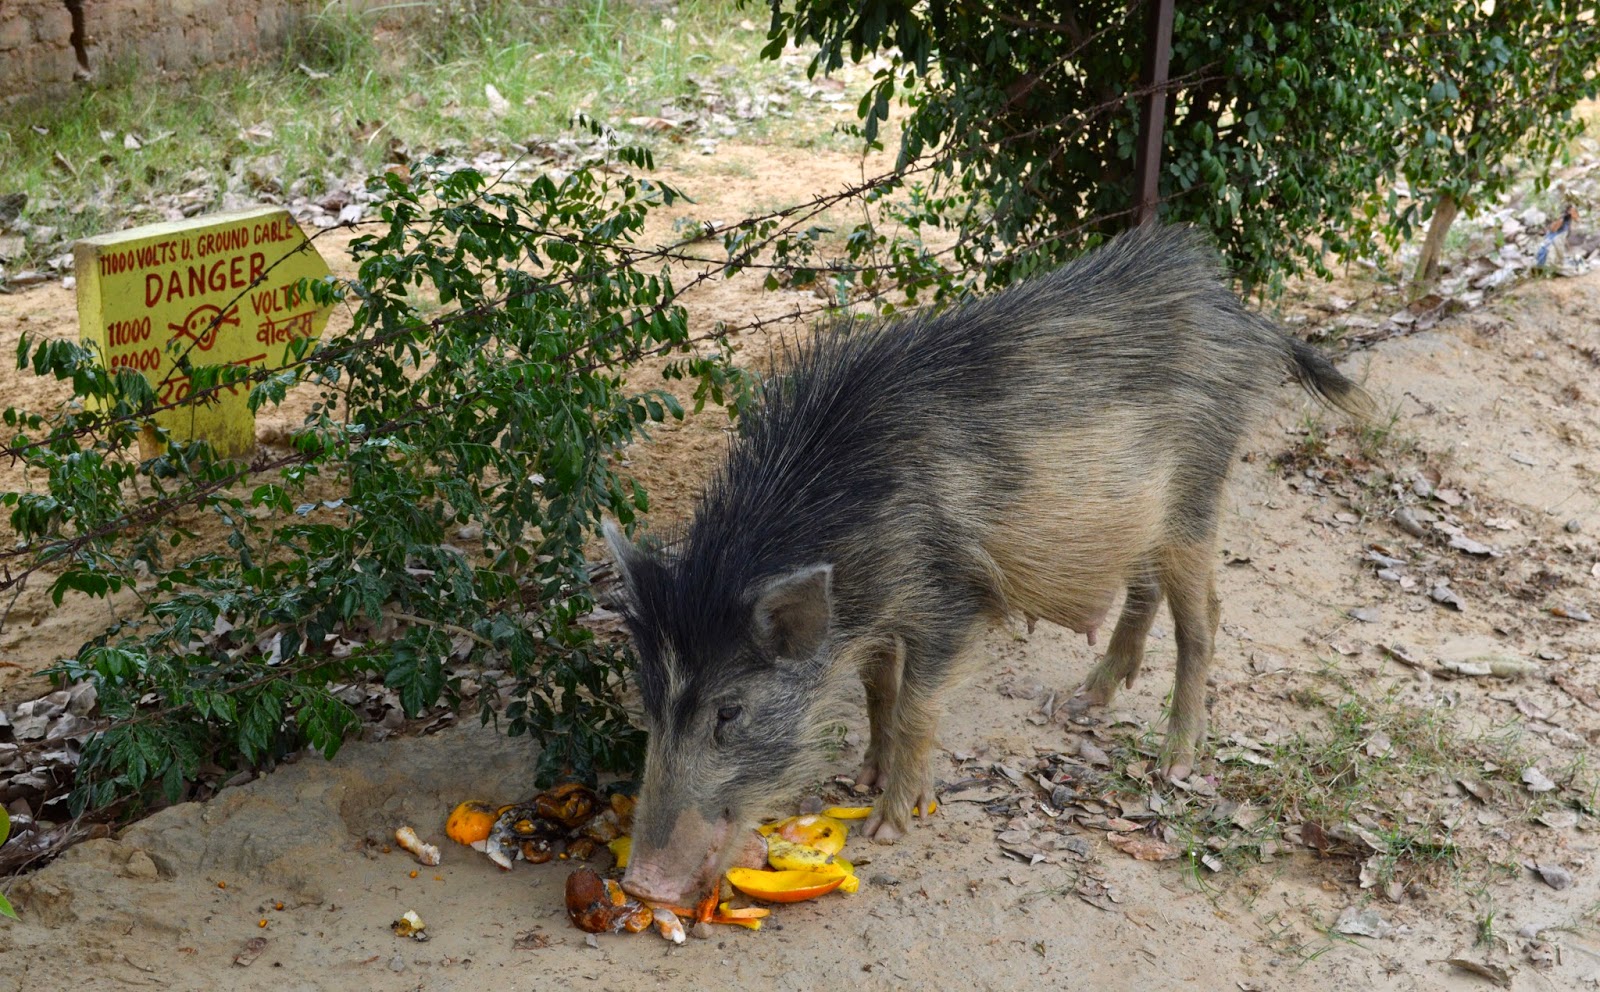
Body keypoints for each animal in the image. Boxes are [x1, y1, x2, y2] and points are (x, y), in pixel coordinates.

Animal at [605, 223, 1375, 906]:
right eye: (648, 698)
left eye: (729, 711)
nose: (640, 884)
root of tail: (1242, 312)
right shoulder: (880, 611)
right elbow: (878, 689)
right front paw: (864, 778)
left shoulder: (951, 597)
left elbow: (915, 705)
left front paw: (888, 827)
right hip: (1139, 518)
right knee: (1145, 588)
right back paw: (1083, 702)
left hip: (1197, 491)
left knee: (1205, 616)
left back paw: (1175, 760)